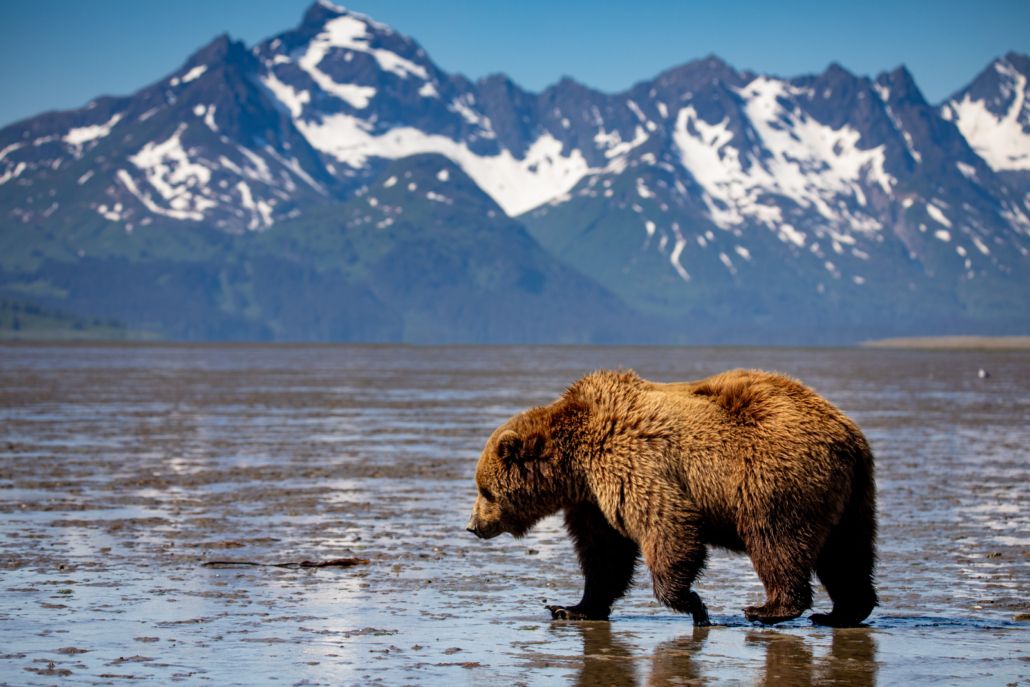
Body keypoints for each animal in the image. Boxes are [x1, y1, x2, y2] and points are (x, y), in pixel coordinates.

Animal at [465, 368, 877, 627]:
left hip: (774, 477)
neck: (575, 464)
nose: (473, 526)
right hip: (851, 495)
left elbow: (668, 524)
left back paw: (767, 608)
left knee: (777, 540)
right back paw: (843, 611)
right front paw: (571, 607)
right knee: (847, 552)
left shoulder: (628, 461)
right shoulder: (592, 502)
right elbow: (604, 555)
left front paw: (693, 604)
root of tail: (849, 433)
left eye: (485, 491)